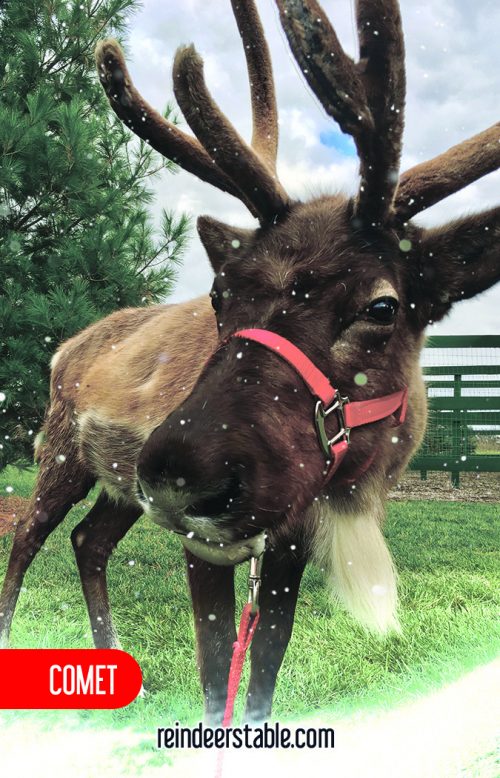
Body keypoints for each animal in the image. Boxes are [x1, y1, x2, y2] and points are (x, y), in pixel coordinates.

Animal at [0, 0, 498, 726]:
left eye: (381, 306)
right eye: (219, 293)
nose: (179, 470)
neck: (351, 485)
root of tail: (68, 345)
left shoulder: (288, 542)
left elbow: (263, 666)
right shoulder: (208, 542)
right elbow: (217, 674)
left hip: (122, 485)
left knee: (88, 541)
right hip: (62, 449)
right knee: (27, 537)